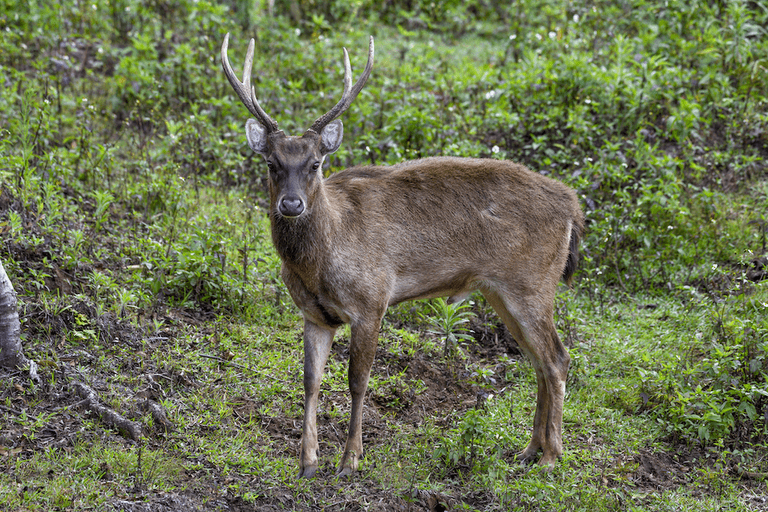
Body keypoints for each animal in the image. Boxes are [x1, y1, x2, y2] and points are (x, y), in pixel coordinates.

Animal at [221, 33, 585, 478]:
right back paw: (528, 450)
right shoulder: (313, 313)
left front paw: (350, 459)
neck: (318, 264)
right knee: (537, 362)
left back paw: (552, 456)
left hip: (532, 283)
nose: (291, 204)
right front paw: (307, 462)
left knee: (557, 358)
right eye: (271, 163)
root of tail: (572, 207)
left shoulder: (371, 301)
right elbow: (310, 381)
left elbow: (357, 380)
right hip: (501, 291)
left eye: (316, 163)